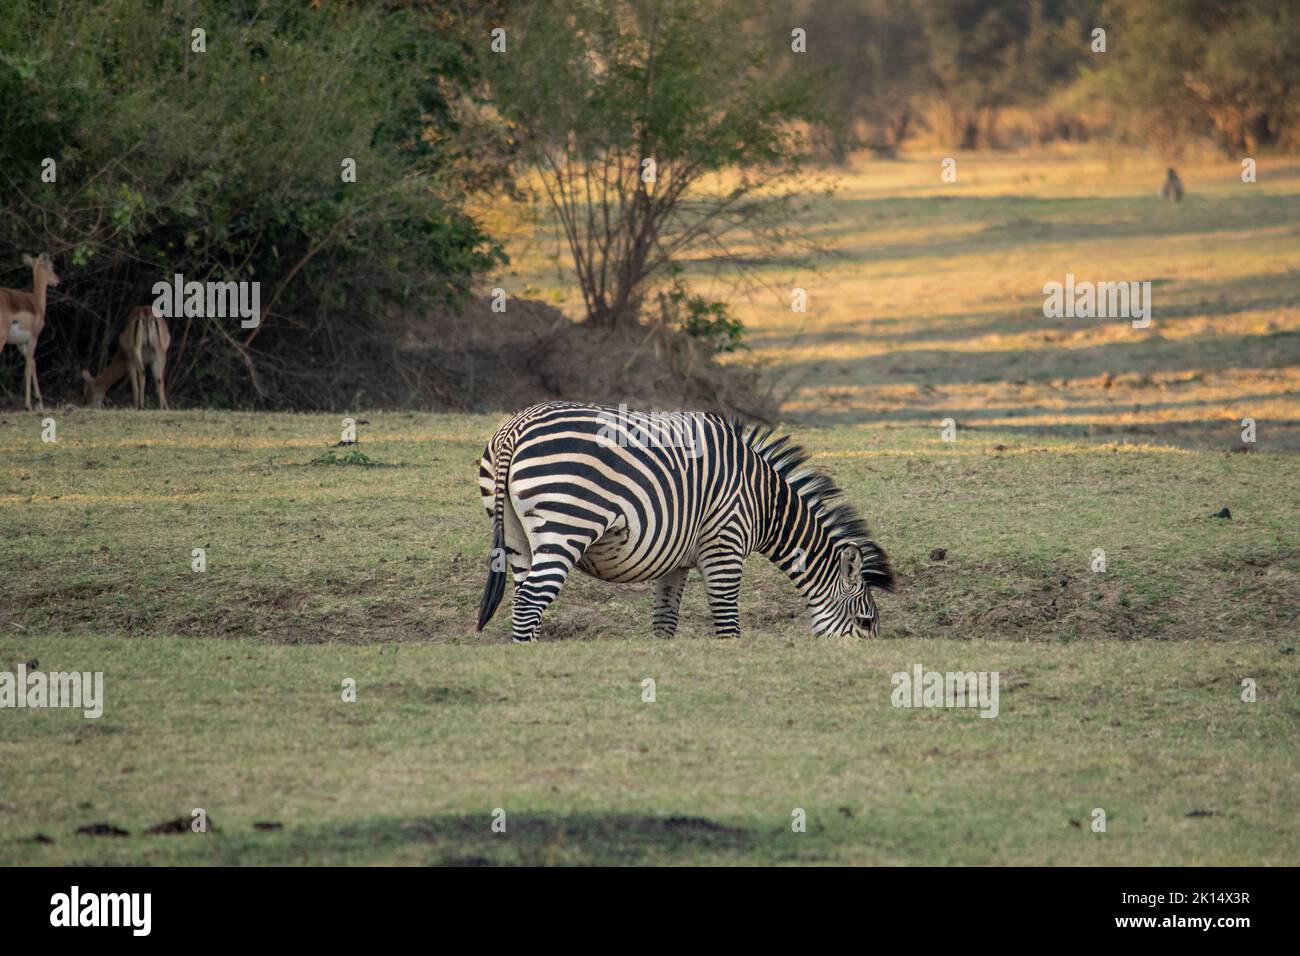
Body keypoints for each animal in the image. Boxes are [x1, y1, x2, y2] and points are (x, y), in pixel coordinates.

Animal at [476, 401, 894, 642]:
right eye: (866, 623)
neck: (764, 503)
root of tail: (517, 427)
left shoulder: (674, 562)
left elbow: (665, 621)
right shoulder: (725, 545)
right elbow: (727, 622)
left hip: (516, 536)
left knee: (523, 599)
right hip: (567, 524)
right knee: (530, 600)